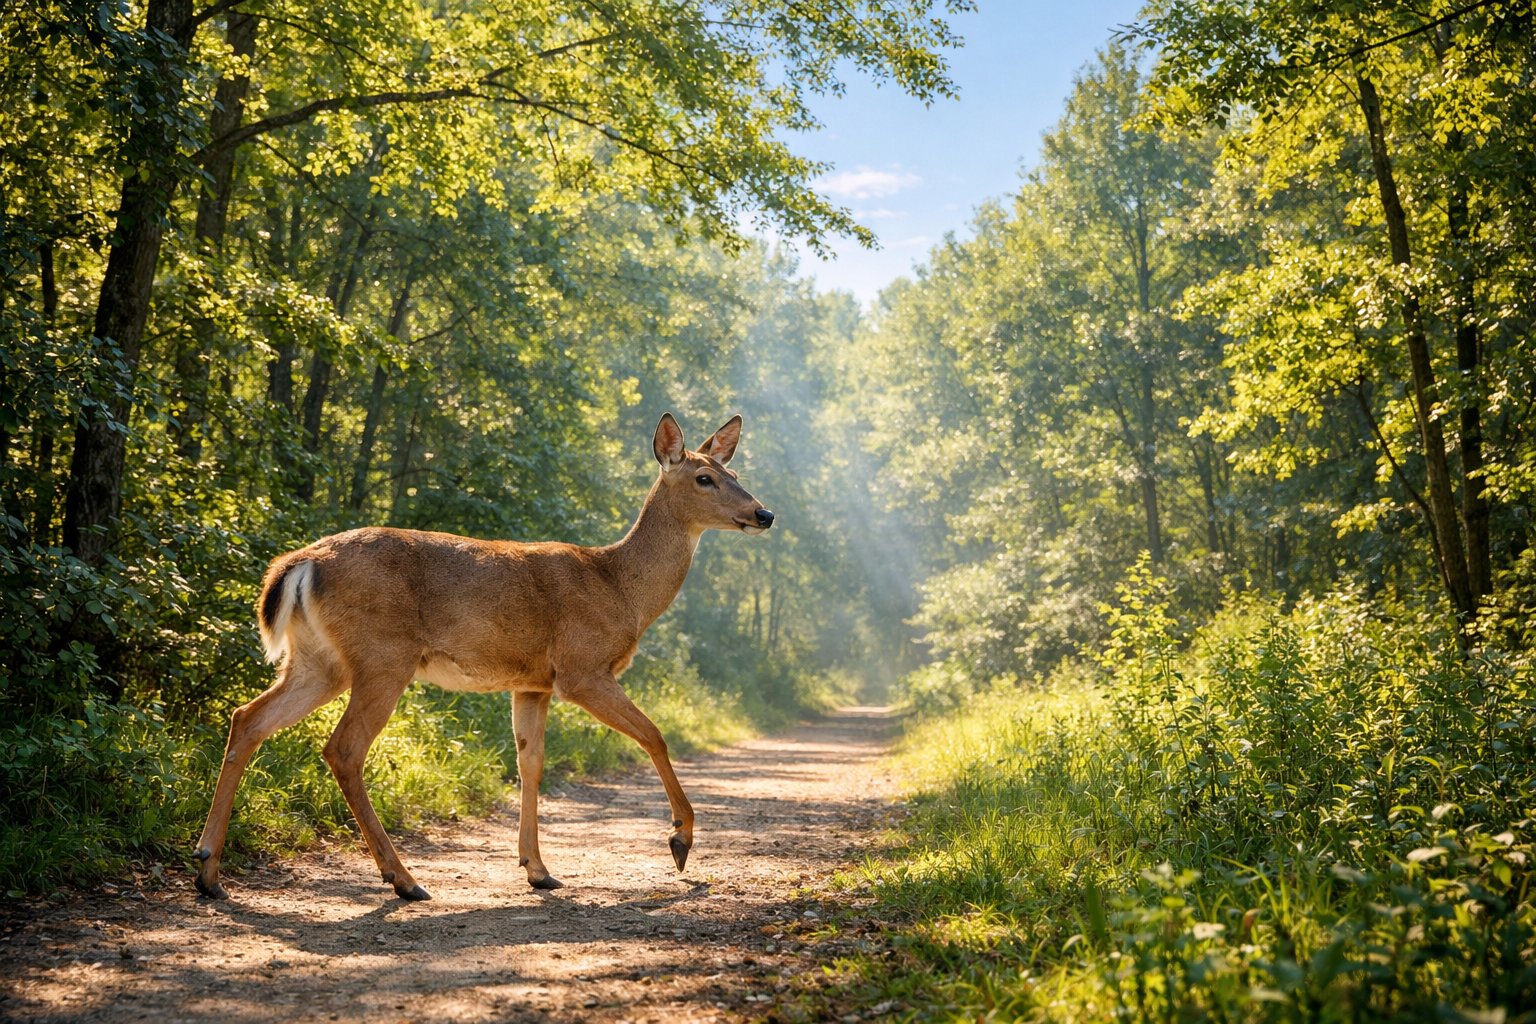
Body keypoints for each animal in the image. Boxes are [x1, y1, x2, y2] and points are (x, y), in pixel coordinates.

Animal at [193, 413, 774, 901]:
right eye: (704, 478)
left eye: (736, 470)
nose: (763, 513)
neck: (621, 589)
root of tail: (299, 563)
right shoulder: (582, 668)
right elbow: (654, 734)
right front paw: (680, 839)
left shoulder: (532, 682)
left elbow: (530, 764)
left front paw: (537, 869)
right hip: (383, 655)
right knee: (344, 749)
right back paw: (403, 880)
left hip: (319, 661)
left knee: (248, 718)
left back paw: (209, 872)